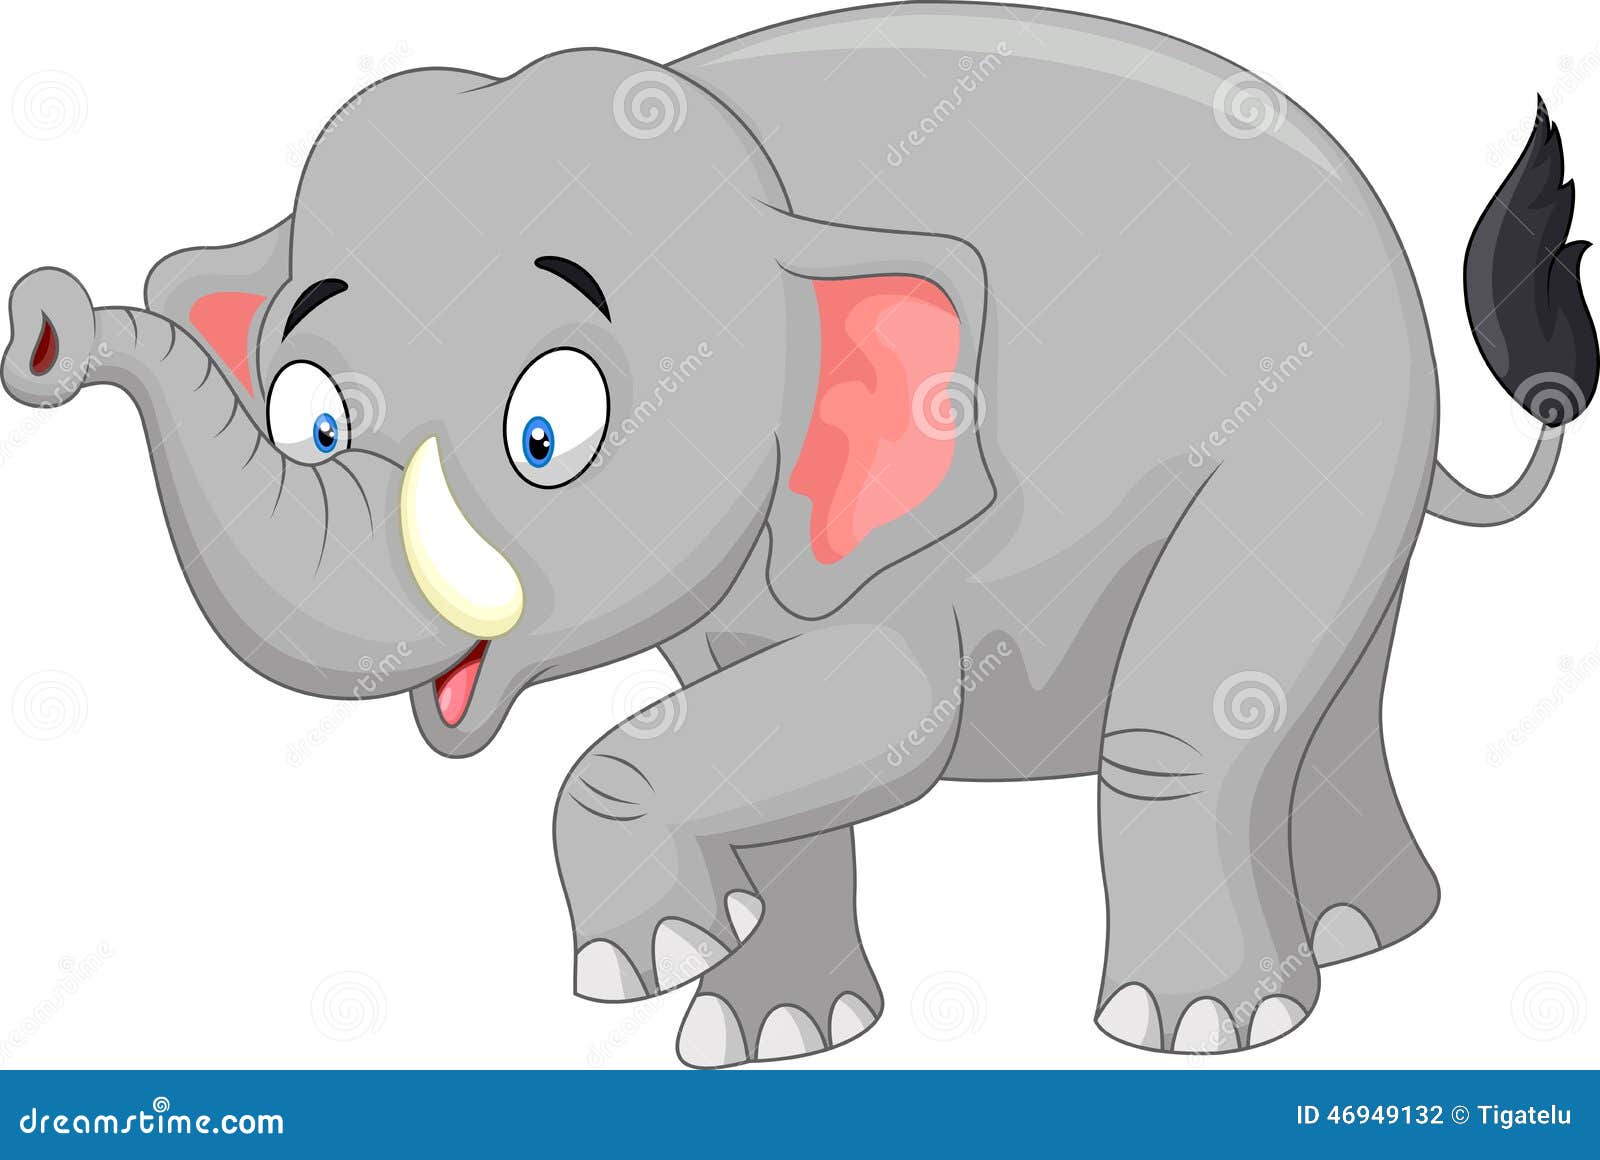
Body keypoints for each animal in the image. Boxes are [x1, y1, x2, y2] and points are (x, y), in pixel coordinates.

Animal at [5, 4, 1596, 1067]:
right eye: (313, 418)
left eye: (547, 433)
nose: (44, 322)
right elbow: (767, 728)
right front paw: (759, 1020)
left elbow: (891, 713)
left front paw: (642, 970)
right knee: (1336, 685)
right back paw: (1366, 937)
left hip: (1315, 438)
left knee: (1206, 709)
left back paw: (1206, 1023)